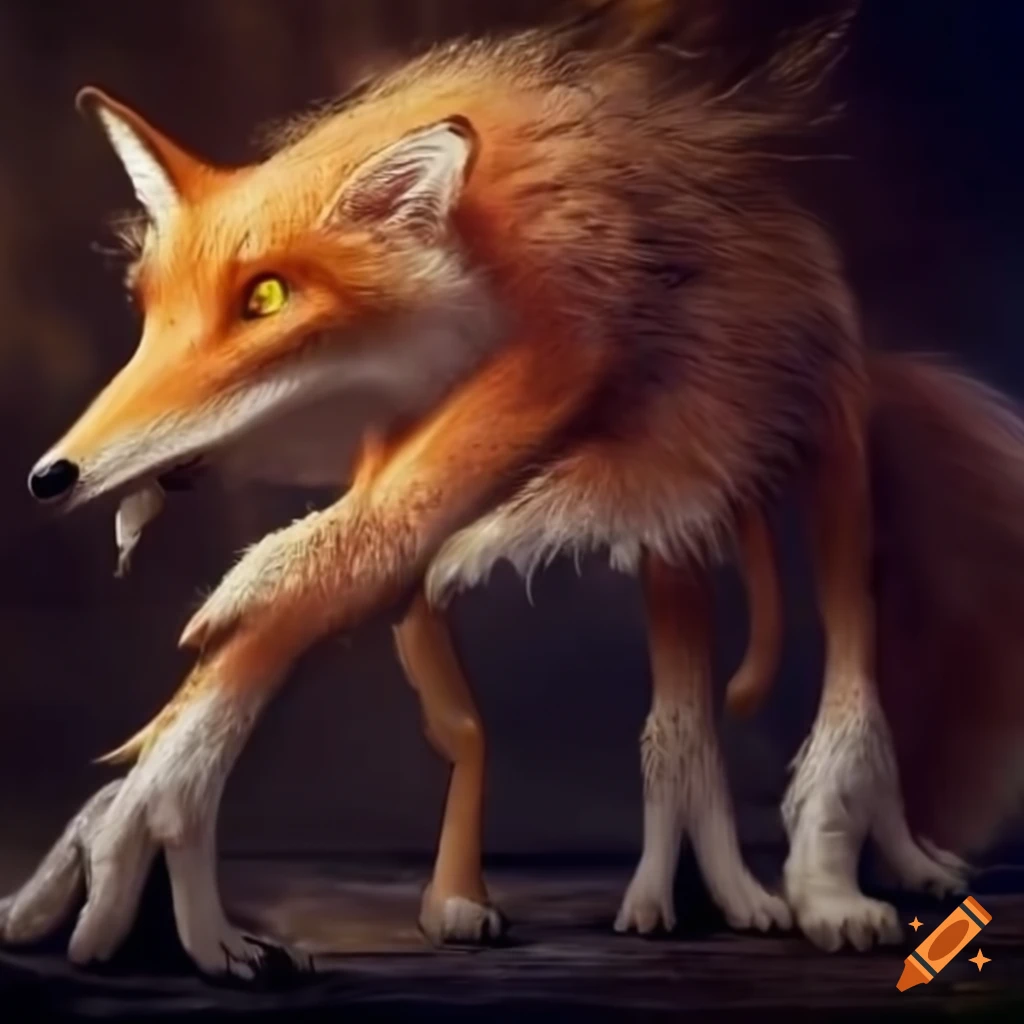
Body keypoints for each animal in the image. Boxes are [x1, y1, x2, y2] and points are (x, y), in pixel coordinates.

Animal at [2, 0, 1022, 980]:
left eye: (266, 299)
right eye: (149, 316)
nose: (51, 477)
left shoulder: (574, 330)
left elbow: (381, 532)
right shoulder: (408, 439)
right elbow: (342, 609)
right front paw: (140, 803)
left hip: (788, 442)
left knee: (829, 659)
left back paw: (826, 881)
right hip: (657, 527)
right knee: (567, 722)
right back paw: (547, 893)